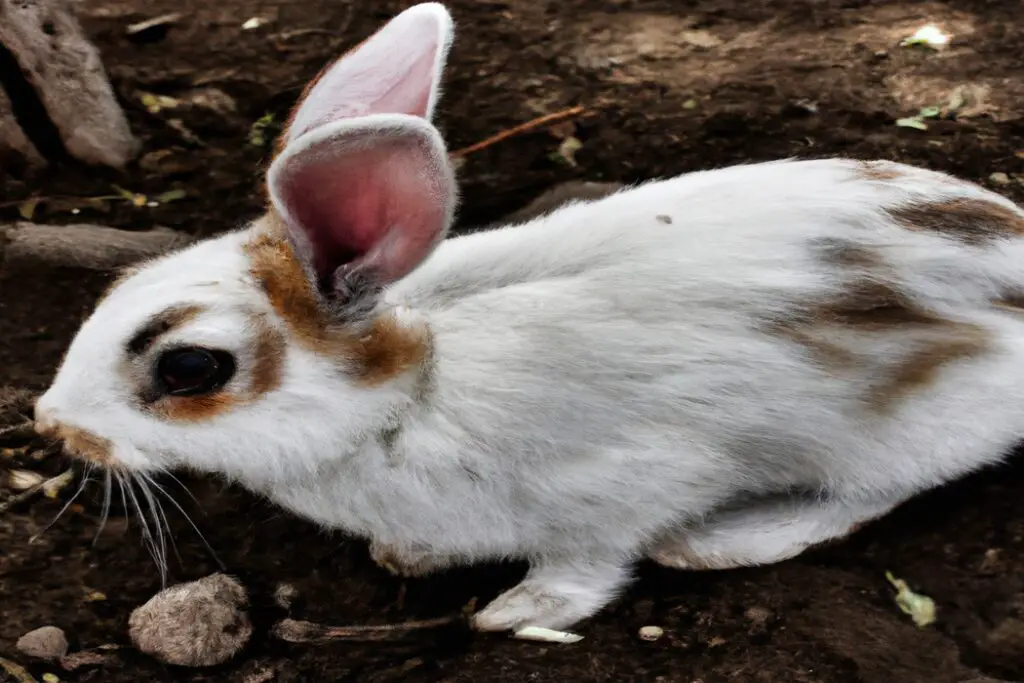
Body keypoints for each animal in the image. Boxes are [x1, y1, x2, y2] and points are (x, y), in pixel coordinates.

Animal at [33, 1, 1024, 633]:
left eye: (189, 367)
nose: (52, 424)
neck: (405, 399)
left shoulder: (622, 491)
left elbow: (587, 568)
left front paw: (516, 612)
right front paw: (407, 557)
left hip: (905, 431)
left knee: (869, 496)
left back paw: (726, 540)